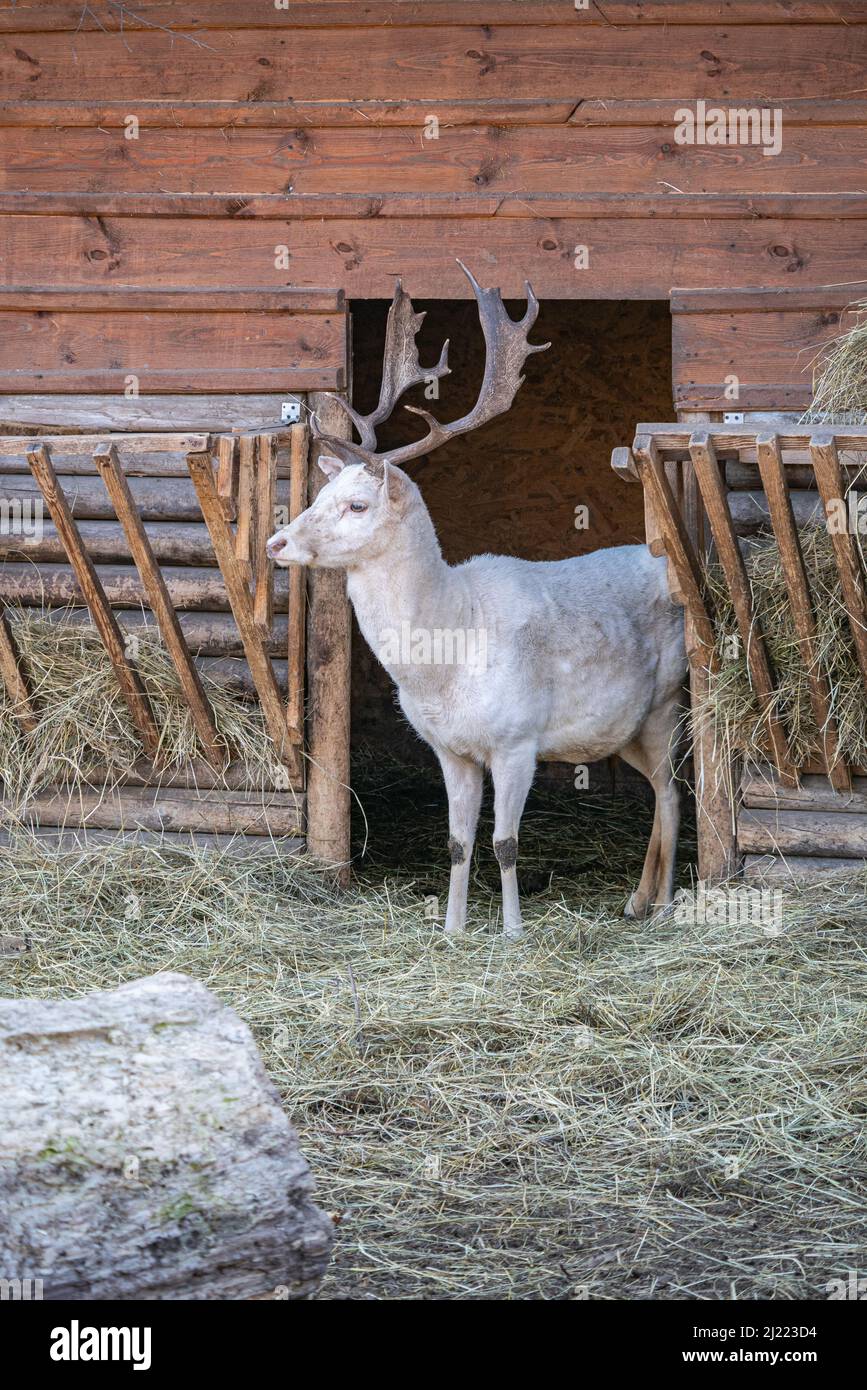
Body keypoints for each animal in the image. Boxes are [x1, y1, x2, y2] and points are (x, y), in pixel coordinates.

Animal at [267, 263, 686, 939]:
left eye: (356, 504)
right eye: (318, 494)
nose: (277, 541)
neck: (445, 655)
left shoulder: (517, 738)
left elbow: (506, 841)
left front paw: (513, 931)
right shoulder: (449, 748)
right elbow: (459, 840)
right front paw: (453, 927)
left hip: (669, 698)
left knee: (675, 793)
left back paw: (665, 904)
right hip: (622, 727)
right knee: (658, 791)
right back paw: (637, 899)